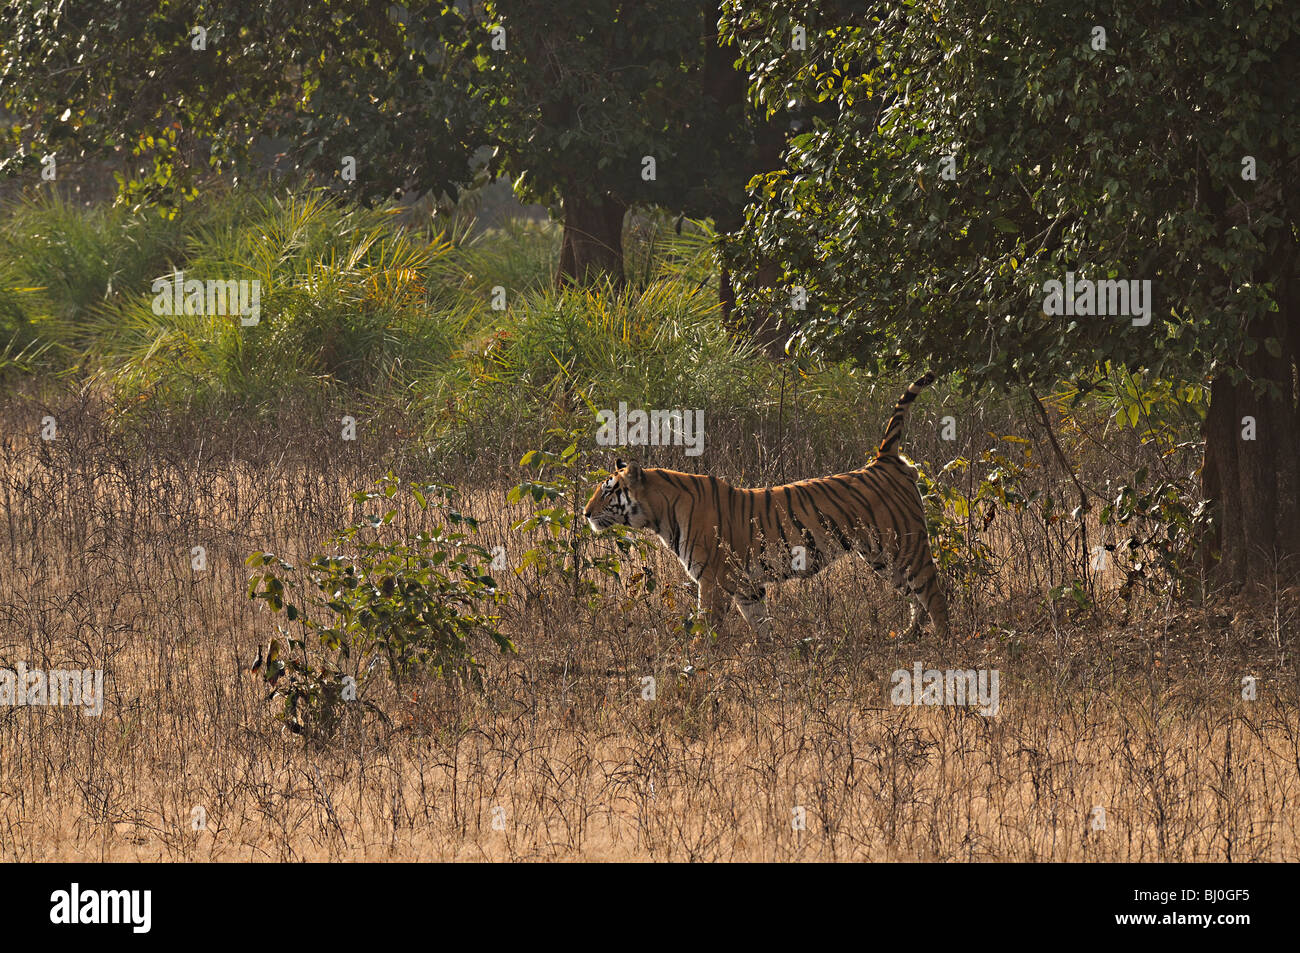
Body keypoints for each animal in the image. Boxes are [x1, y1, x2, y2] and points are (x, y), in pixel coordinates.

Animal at [583, 373, 949, 640]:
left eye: (607, 491)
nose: (585, 514)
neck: (659, 515)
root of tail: (882, 460)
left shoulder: (713, 580)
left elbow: (707, 628)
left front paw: (700, 662)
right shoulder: (747, 585)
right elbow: (761, 626)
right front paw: (769, 661)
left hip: (907, 546)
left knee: (935, 594)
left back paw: (945, 643)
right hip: (879, 556)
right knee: (915, 597)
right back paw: (909, 636)